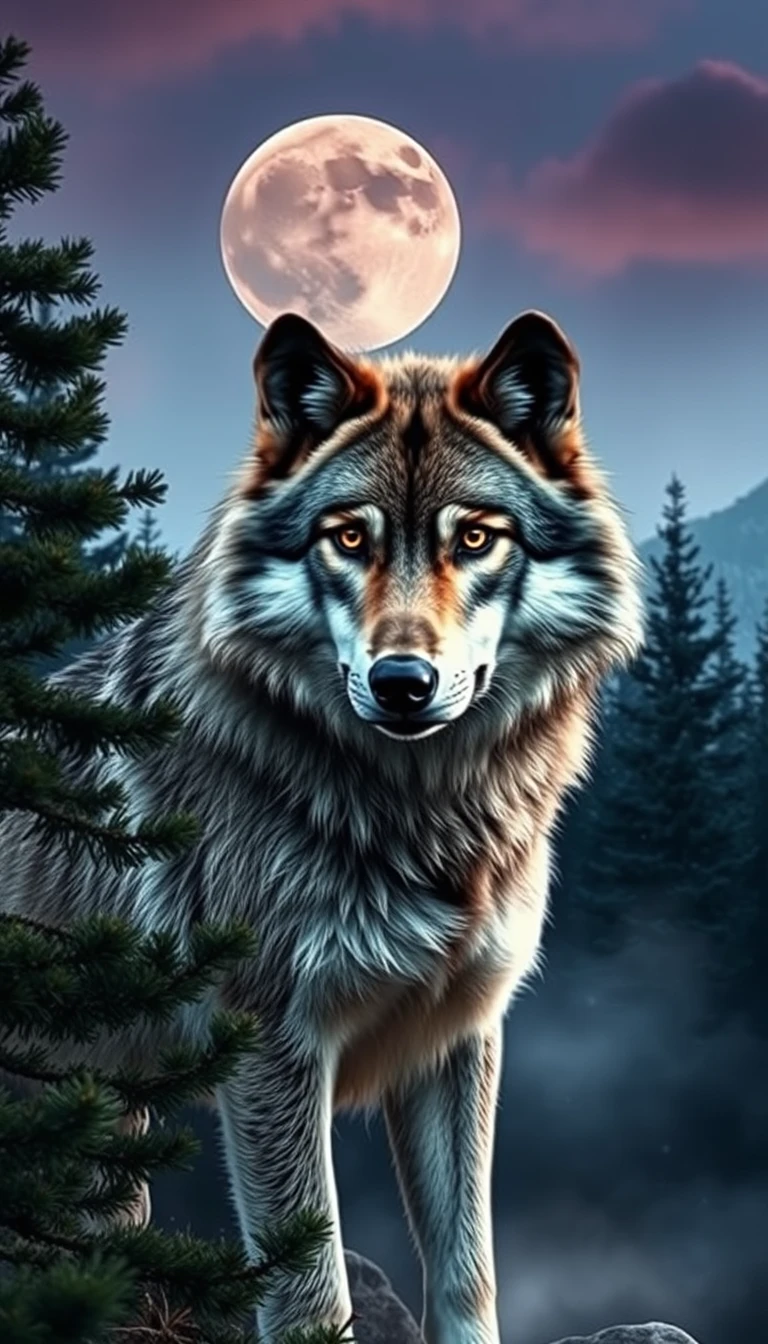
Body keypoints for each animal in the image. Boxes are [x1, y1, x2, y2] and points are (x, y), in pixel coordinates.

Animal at [0, 309, 643, 1343]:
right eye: (348, 536)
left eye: (476, 538)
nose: (402, 683)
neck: (423, 809)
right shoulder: (273, 1042)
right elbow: (309, 1293)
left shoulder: (461, 1035)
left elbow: (467, 1270)